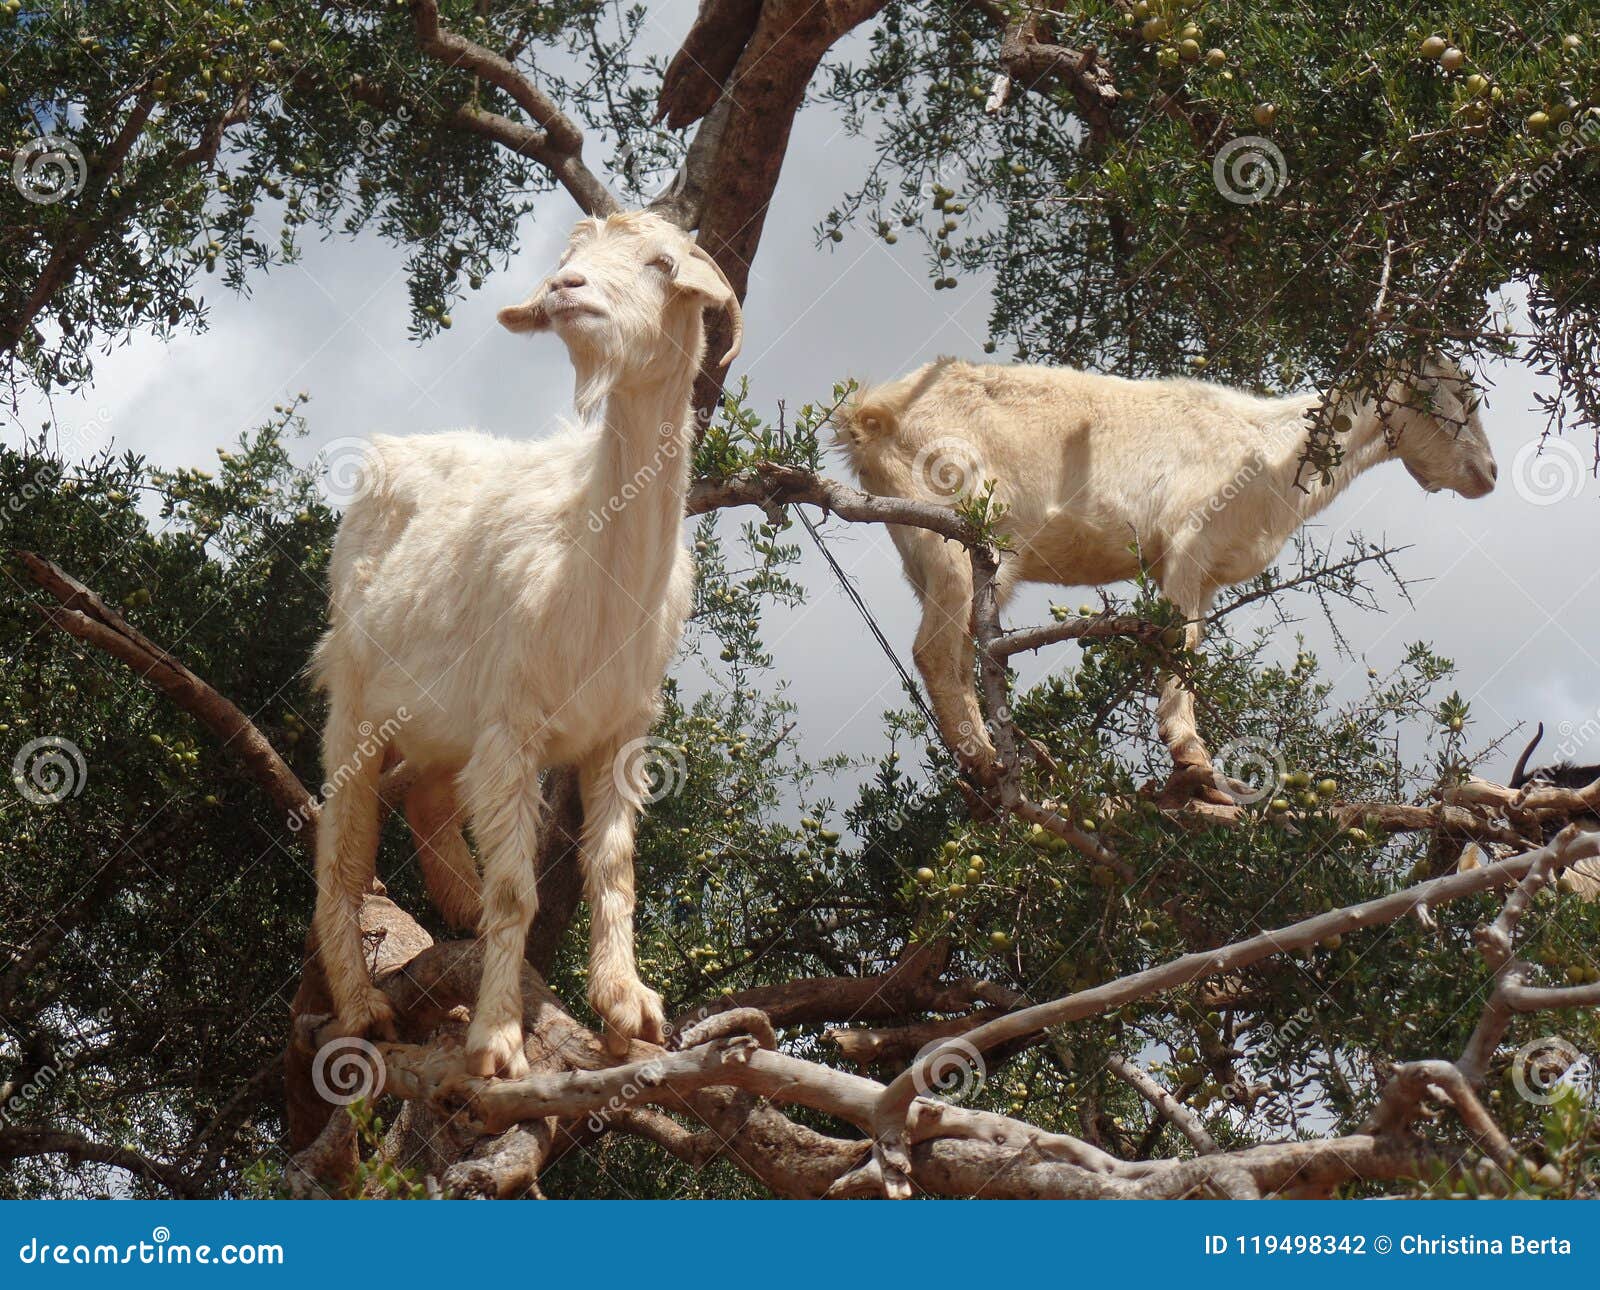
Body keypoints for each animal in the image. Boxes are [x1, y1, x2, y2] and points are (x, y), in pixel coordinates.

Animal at [311, 211, 742, 1074]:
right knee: (342, 844)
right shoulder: (511, 726)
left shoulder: (618, 735)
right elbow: (519, 891)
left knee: (425, 794)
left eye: (661, 262)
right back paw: (362, 1003)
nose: (566, 288)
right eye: (573, 257)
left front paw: (628, 1005)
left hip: (443, 724)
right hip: (356, 701)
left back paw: (458, 904)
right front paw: (497, 1039)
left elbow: (613, 868)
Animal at [838, 356, 1497, 789]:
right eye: (1459, 398)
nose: (1489, 472)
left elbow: (1190, 643)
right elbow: (1178, 645)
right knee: (935, 649)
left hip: (930, 553)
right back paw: (982, 758)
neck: (1275, 454)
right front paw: (1192, 757)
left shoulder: (1202, 576)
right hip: (960, 533)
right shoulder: (1185, 546)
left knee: (962, 649)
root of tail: (870, 414)